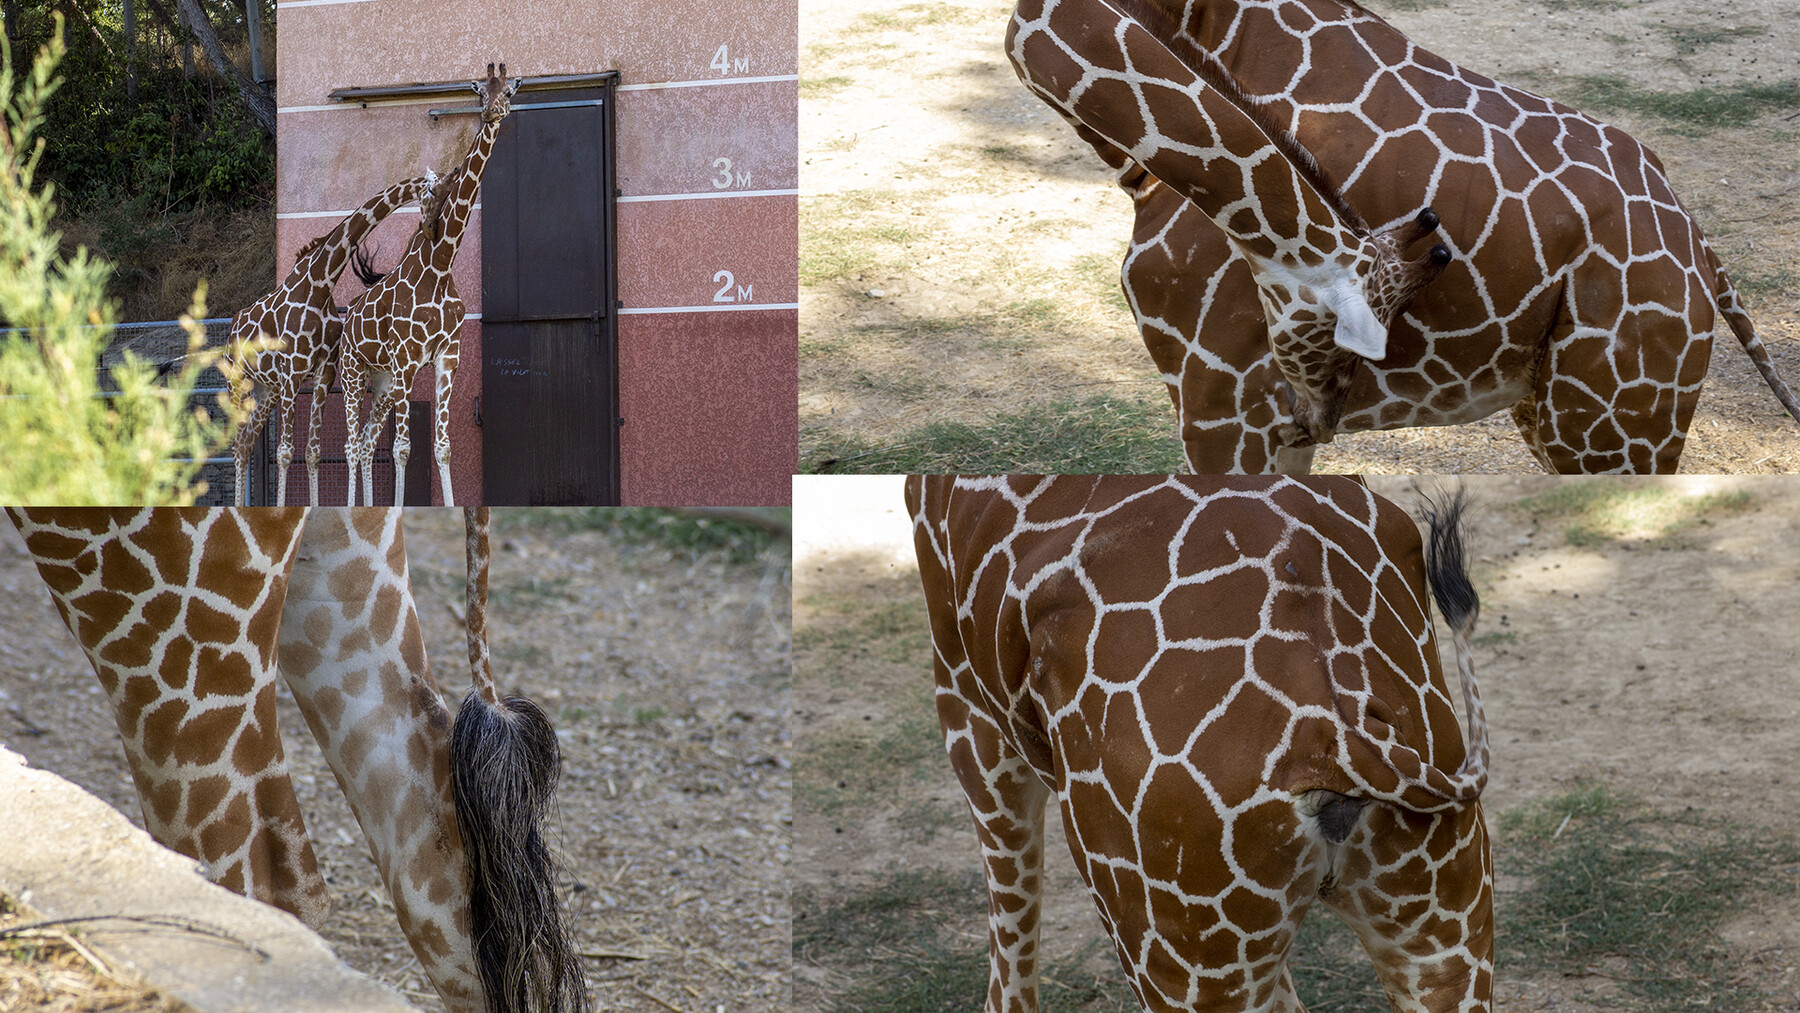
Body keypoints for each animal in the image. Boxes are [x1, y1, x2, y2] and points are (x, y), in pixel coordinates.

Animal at [227, 174, 434, 507]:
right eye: (433, 195)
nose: (429, 229)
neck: (319, 287)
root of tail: (231, 327)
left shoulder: (323, 371)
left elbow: (313, 452)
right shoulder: (293, 372)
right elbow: (285, 453)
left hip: (265, 390)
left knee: (245, 445)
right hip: (235, 380)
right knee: (235, 447)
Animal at [340, 63, 519, 507]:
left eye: (508, 90)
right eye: (479, 90)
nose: (492, 112)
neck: (440, 263)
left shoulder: (446, 357)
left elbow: (442, 446)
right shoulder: (406, 361)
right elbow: (404, 448)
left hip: (382, 382)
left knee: (366, 443)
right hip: (353, 372)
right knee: (351, 445)